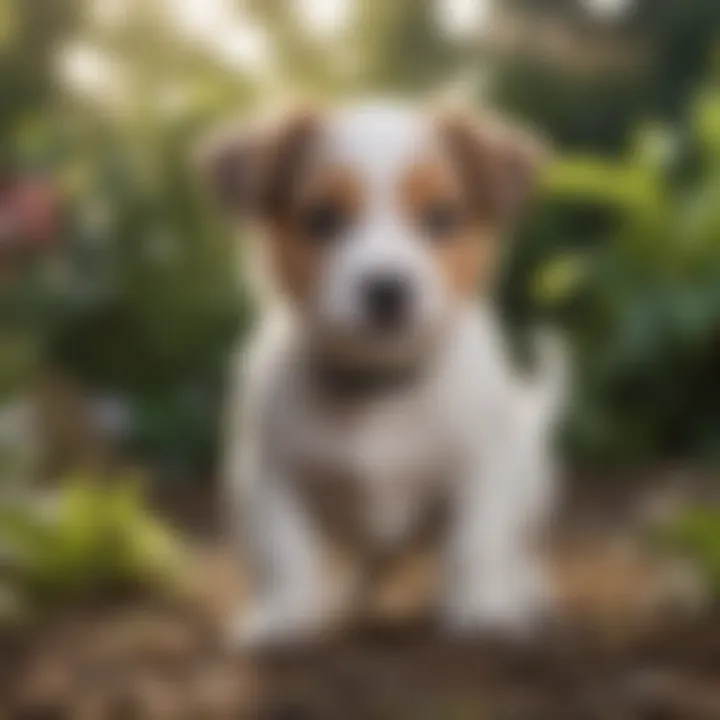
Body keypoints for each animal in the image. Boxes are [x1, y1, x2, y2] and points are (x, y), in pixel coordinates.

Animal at [200, 100, 564, 648]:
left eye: (441, 217)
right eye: (322, 218)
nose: (386, 288)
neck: (381, 388)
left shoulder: (483, 470)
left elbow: (475, 543)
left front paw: (479, 608)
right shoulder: (268, 478)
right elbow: (286, 555)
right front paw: (286, 614)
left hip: (525, 479)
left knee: (507, 546)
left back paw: (519, 588)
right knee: (365, 563)